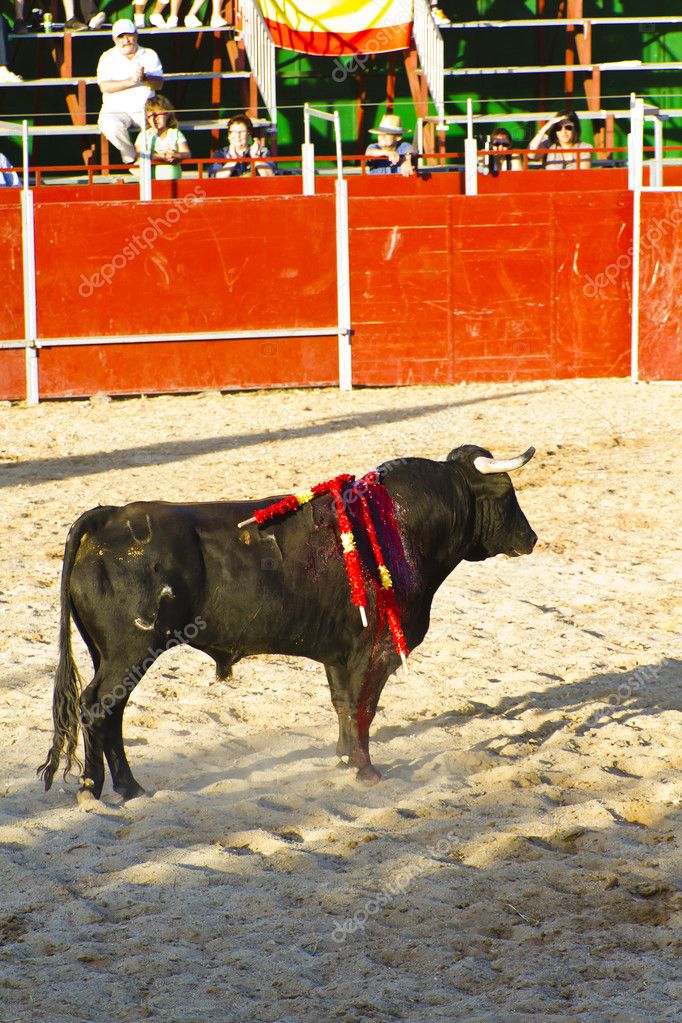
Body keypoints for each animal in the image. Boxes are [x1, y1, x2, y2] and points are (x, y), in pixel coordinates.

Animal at [38, 445, 537, 803]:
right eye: (507, 492)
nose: (530, 538)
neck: (398, 524)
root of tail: (107, 515)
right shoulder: (373, 652)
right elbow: (364, 707)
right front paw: (366, 771)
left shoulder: (339, 653)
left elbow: (343, 705)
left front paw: (344, 761)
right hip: (131, 650)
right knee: (99, 706)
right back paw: (105, 789)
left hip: (109, 653)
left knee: (106, 710)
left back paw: (116, 787)